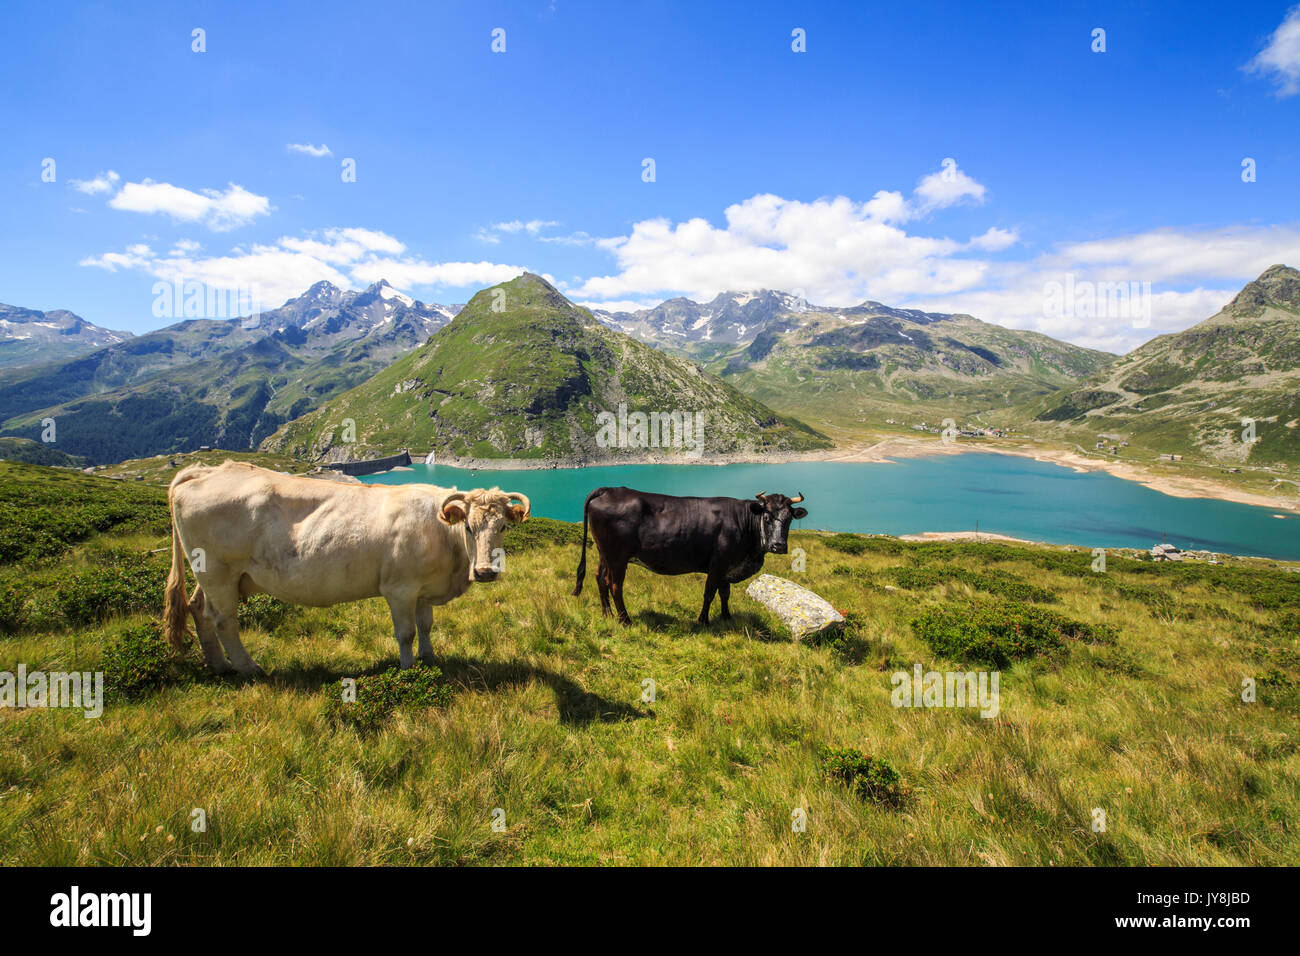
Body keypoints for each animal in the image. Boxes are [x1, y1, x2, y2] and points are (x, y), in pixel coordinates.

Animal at [162, 461, 530, 675]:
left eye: (503, 527)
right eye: (468, 526)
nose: (485, 571)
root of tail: (208, 470)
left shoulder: (423, 590)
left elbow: (426, 626)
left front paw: (430, 658)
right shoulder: (399, 589)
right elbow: (406, 632)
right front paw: (409, 668)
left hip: (210, 574)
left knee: (198, 609)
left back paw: (219, 664)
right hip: (219, 572)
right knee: (224, 620)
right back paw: (249, 668)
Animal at [572, 487, 808, 625]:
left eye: (789, 519)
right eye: (767, 517)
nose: (779, 545)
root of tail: (610, 490)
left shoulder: (728, 566)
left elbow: (725, 593)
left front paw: (726, 617)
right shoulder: (718, 563)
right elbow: (709, 592)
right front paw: (703, 620)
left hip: (604, 553)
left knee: (600, 578)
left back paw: (607, 615)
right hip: (618, 557)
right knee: (614, 585)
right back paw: (625, 620)